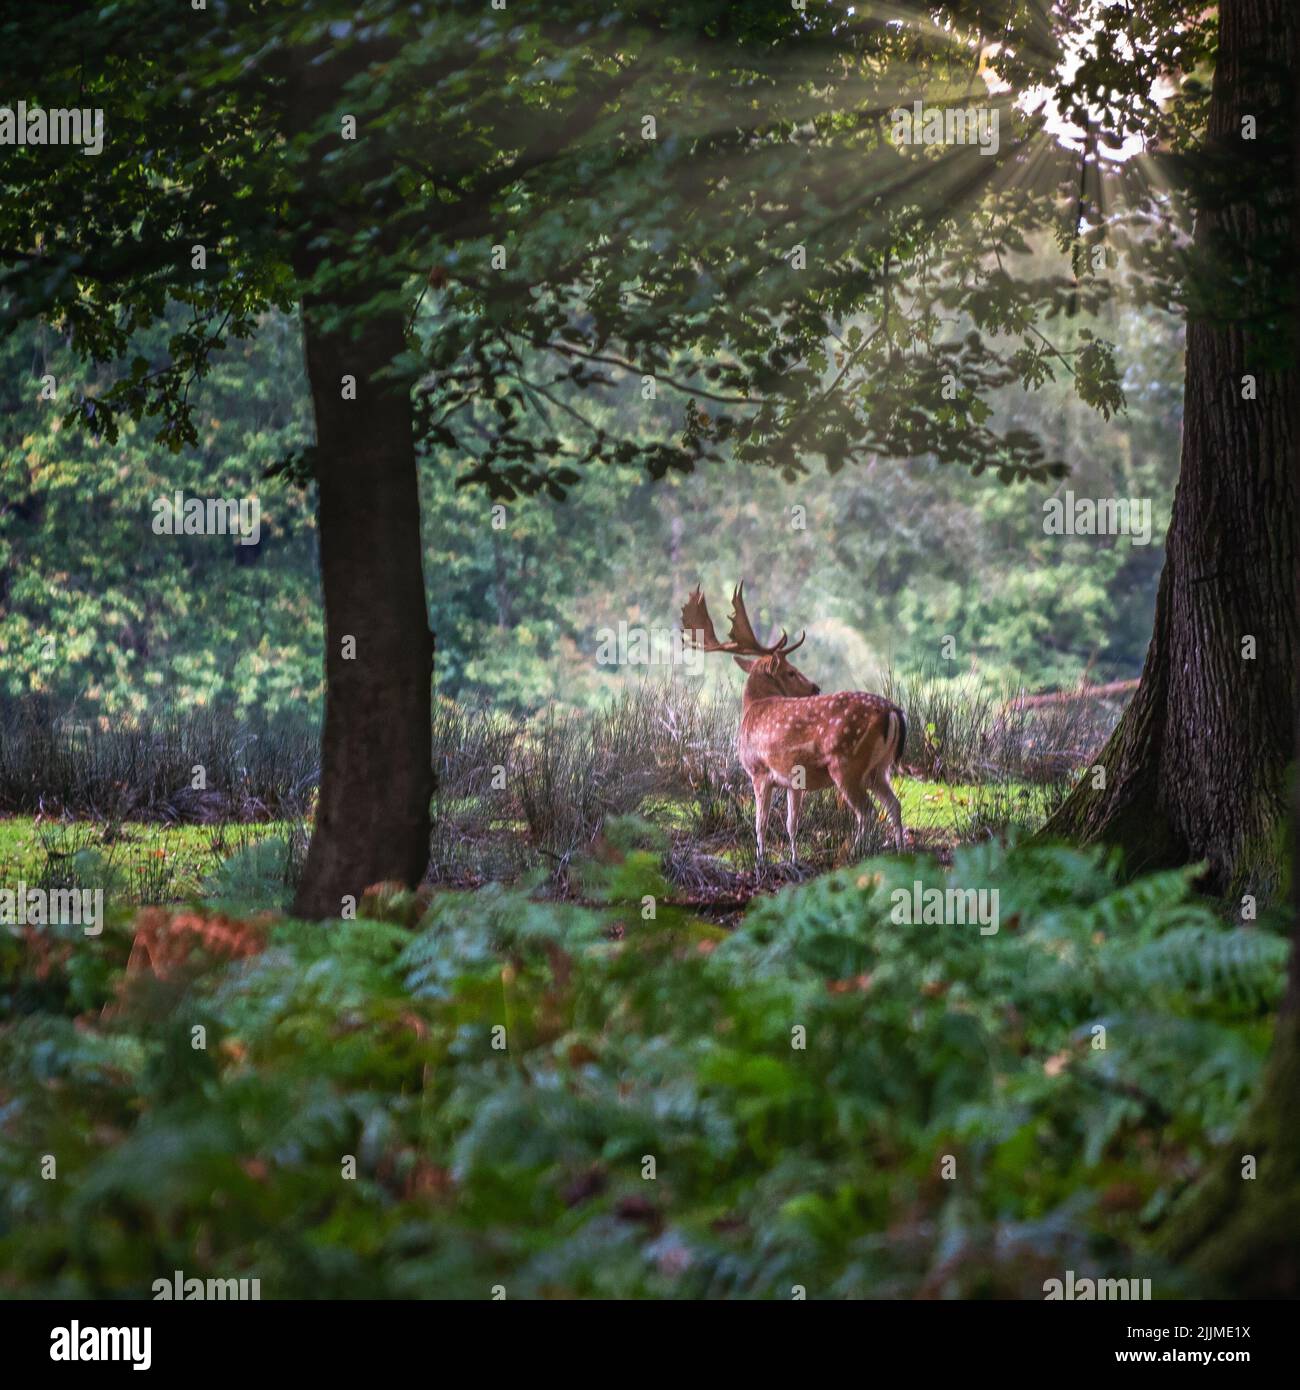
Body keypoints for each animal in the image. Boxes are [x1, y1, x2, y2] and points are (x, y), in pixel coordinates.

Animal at [681, 582, 907, 862]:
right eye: (790, 672)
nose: (815, 687)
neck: (751, 710)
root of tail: (892, 712)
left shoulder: (759, 770)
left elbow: (761, 822)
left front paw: (760, 859)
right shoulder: (794, 780)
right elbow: (792, 823)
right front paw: (793, 859)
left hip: (846, 763)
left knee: (867, 812)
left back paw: (853, 854)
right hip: (879, 769)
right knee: (894, 805)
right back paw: (900, 851)